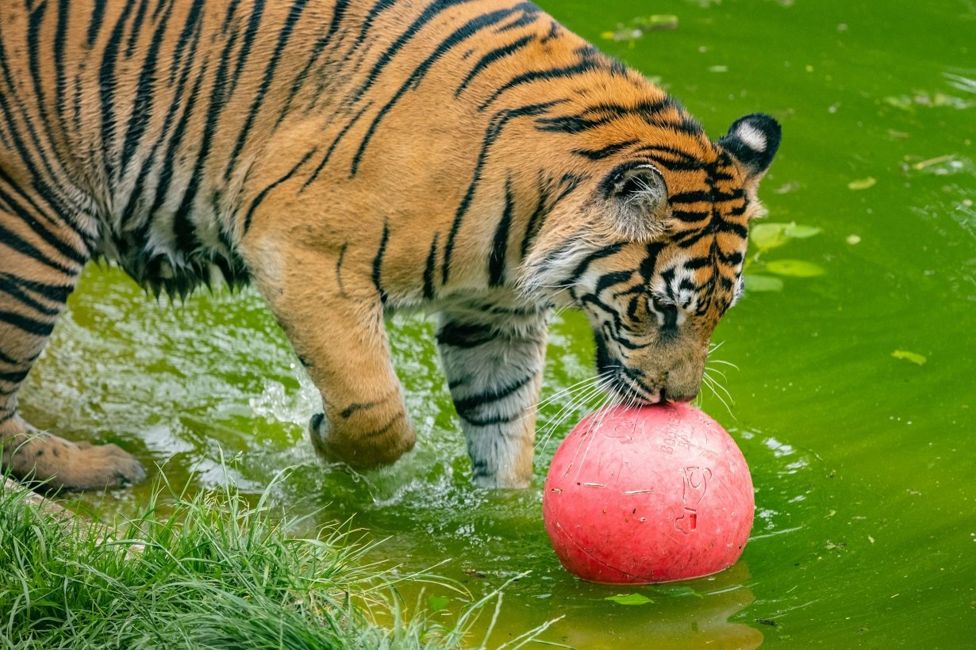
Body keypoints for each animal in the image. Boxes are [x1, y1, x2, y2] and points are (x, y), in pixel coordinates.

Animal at [0, 0, 780, 492]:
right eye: (661, 307)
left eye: (720, 311)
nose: (677, 400)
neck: (530, 223)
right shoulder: (297, 246)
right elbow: (375, 409)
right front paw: (325, 439)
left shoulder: (494, 315)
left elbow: (502, 426)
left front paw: (505, 521)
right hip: (33, 231)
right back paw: (96, 469)